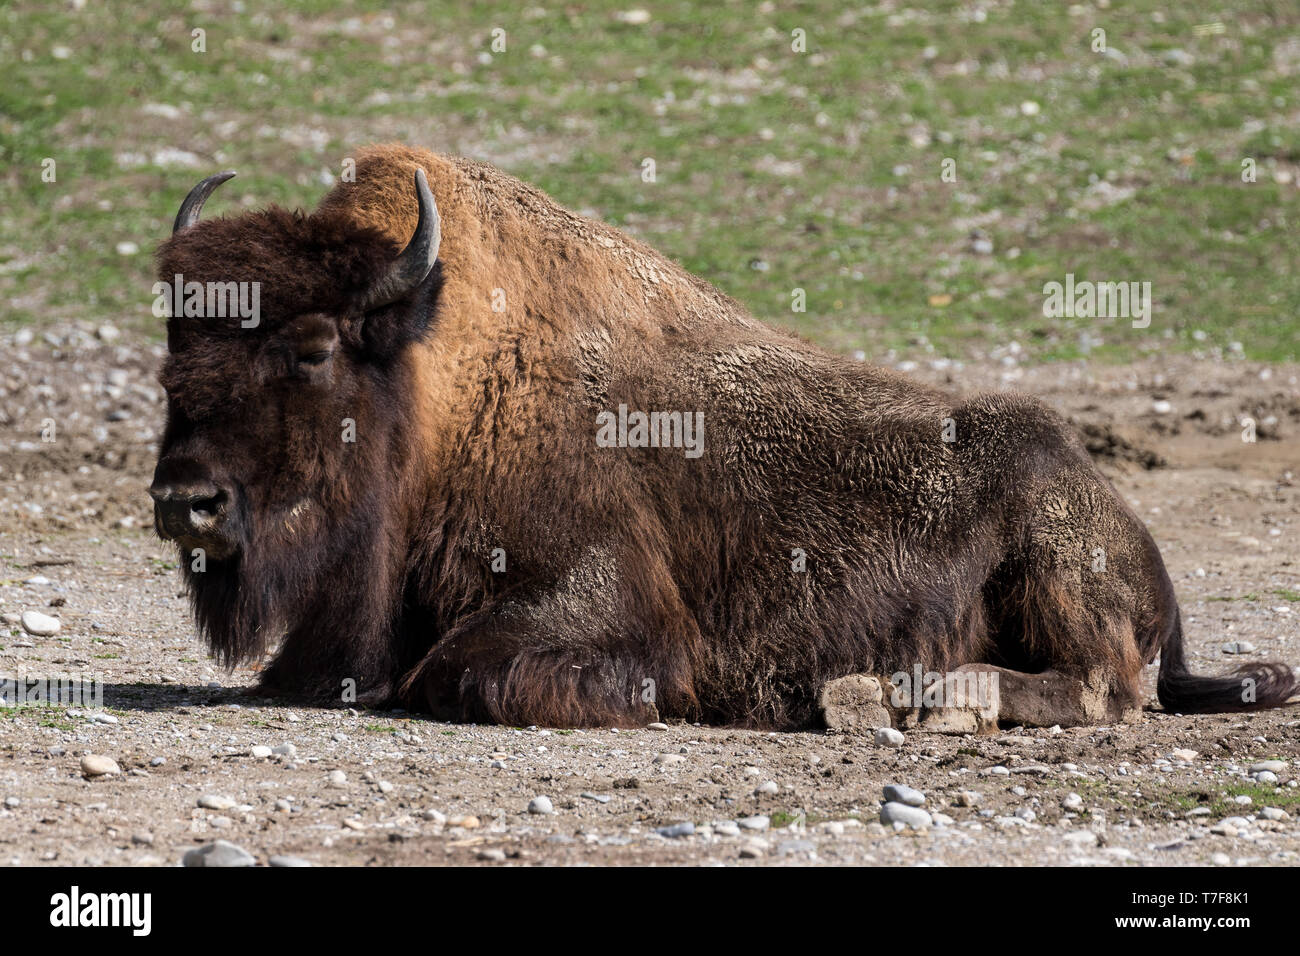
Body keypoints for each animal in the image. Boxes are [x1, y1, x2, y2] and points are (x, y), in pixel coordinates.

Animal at [150, 144, 1297, 729]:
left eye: (312, 349)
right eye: (170, 345)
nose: (184, 502)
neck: (451, 386)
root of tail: (1129, 521)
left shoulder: (601, 606)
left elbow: (463, 671)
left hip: (1049, 564)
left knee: (1098, 689)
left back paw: (889, 696)